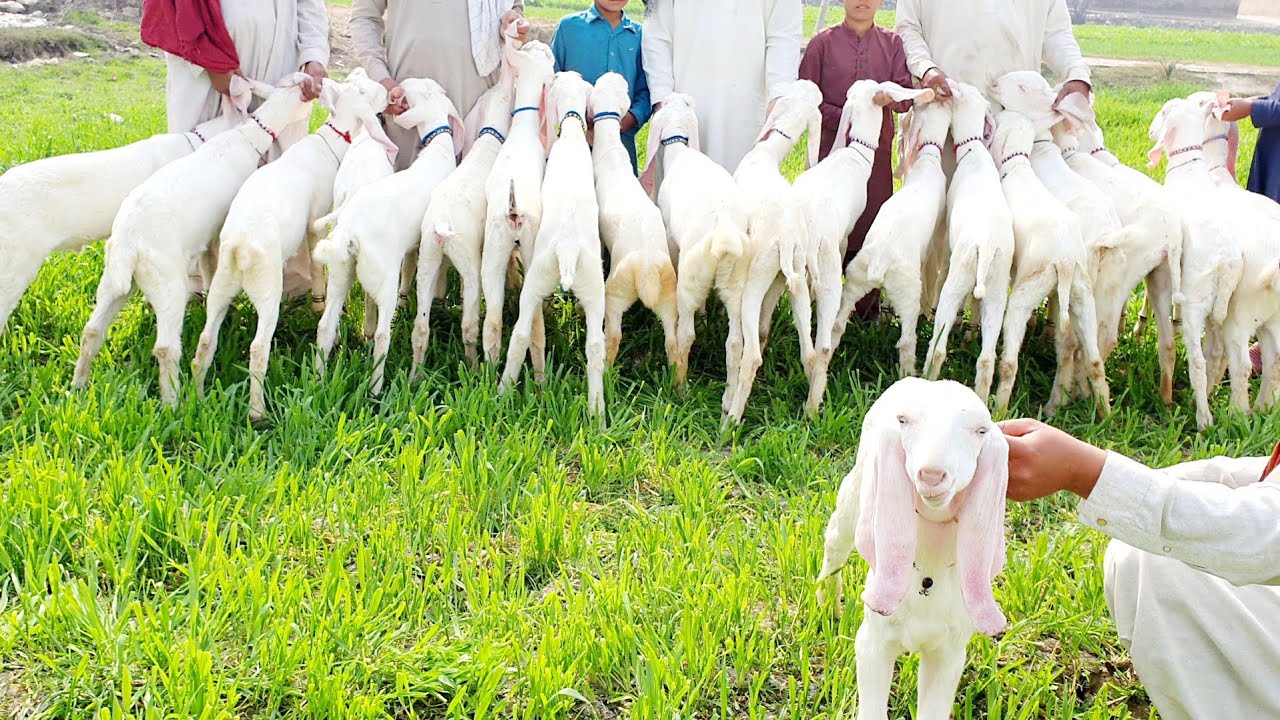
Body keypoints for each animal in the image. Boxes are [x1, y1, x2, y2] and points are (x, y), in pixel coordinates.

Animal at [70, 74, 316, 405]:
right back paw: (172, 403)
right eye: (304, 92)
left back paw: (77, 386)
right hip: (168, 282)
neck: (244, 139)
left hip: (113, 281)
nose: (315, 83)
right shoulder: (217, 229)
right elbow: (211, 266)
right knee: (165, 347)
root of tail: (130, 247)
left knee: (92, 330)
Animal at [190, 71, 394, 421]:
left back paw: (198, 397)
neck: (328, 141)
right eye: (369, 93)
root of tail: (241, 248)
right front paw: (318, 302)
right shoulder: (317, 218)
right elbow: (315, 261)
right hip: (266, 288)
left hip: (221, 286)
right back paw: (258, 413)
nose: (388, 96)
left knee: (205, 340)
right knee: (258, 347)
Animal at [312, 77, 465, 396]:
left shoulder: (412, 245)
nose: (402, 87)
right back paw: (375, 389)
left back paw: (318, 381)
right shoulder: (422, 243)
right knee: (383, 333)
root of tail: (350, 228)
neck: (438, 150)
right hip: (382, 276)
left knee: (325, 325)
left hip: (341, 270)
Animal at [591, 72, 679, 370]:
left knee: (614, 338)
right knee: (674, 345)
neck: (610, 148)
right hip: (669, 298)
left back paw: (607, 372)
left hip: (615, 295)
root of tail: (648, 272)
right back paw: (678, 379)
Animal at [817, 377, 1009, 719]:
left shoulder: (949, 654)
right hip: (856, 490)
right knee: (837, 541)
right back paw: (828, 604)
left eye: (981, 430)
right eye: (904, 421)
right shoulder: (873, 641)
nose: (932, 475)